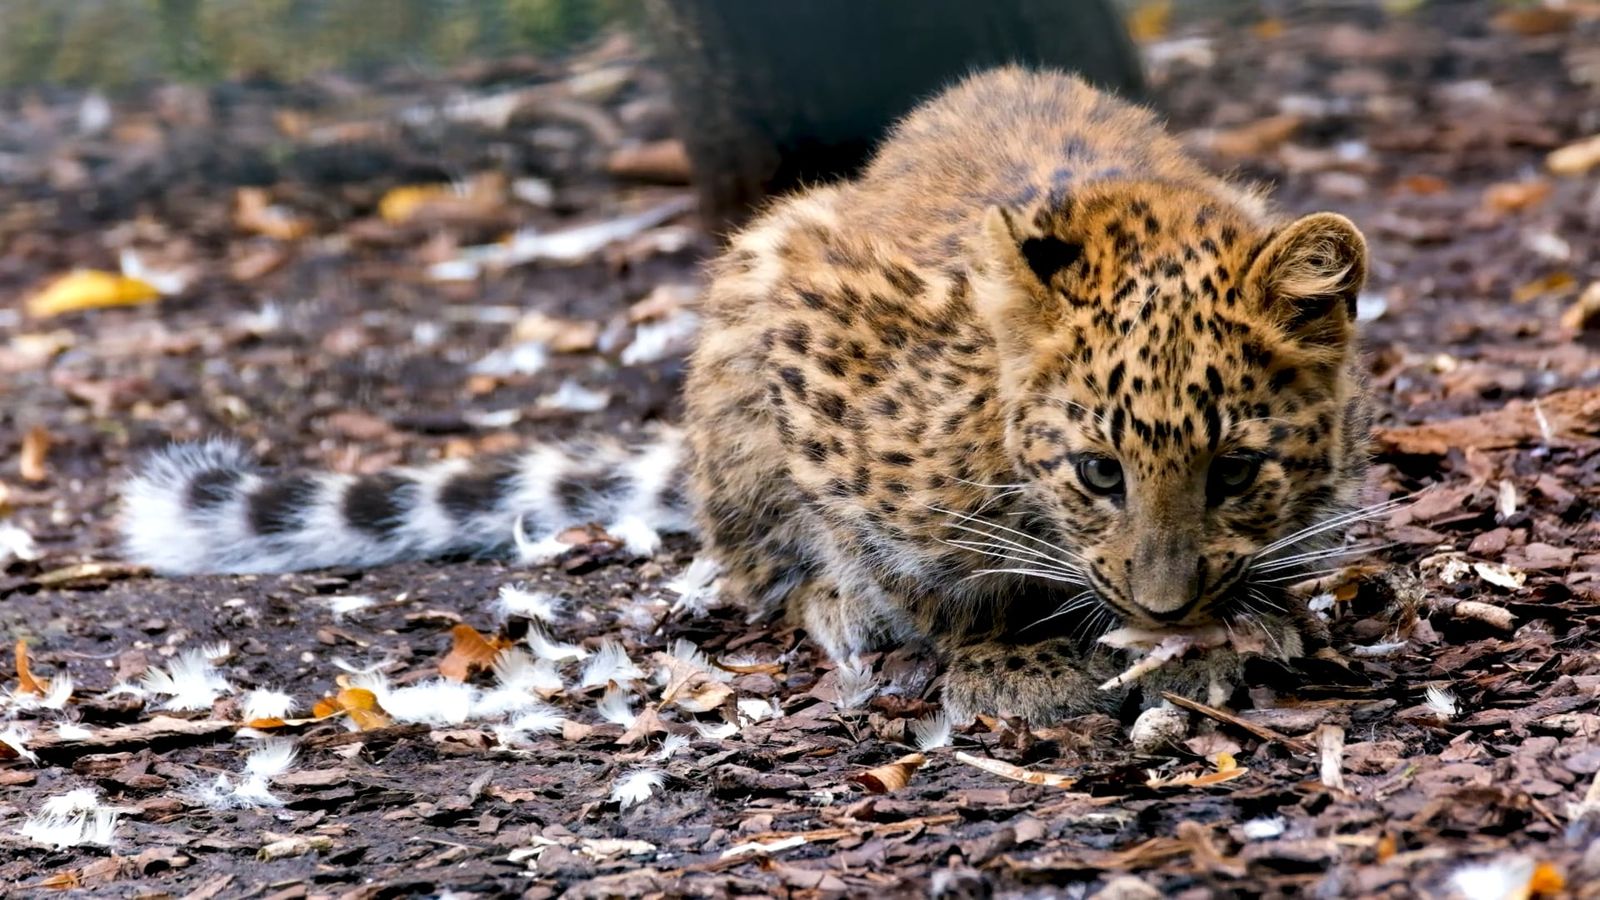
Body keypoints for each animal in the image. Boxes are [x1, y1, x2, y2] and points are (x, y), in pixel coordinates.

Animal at [120, 67, 1373, 724]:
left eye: (1235, 471)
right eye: (1096, 472)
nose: (1164, 605)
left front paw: (1230, 625)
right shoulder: (805, 320)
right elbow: (914, 573)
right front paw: (1008, 658)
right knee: (754, 561)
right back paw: (837, 608)